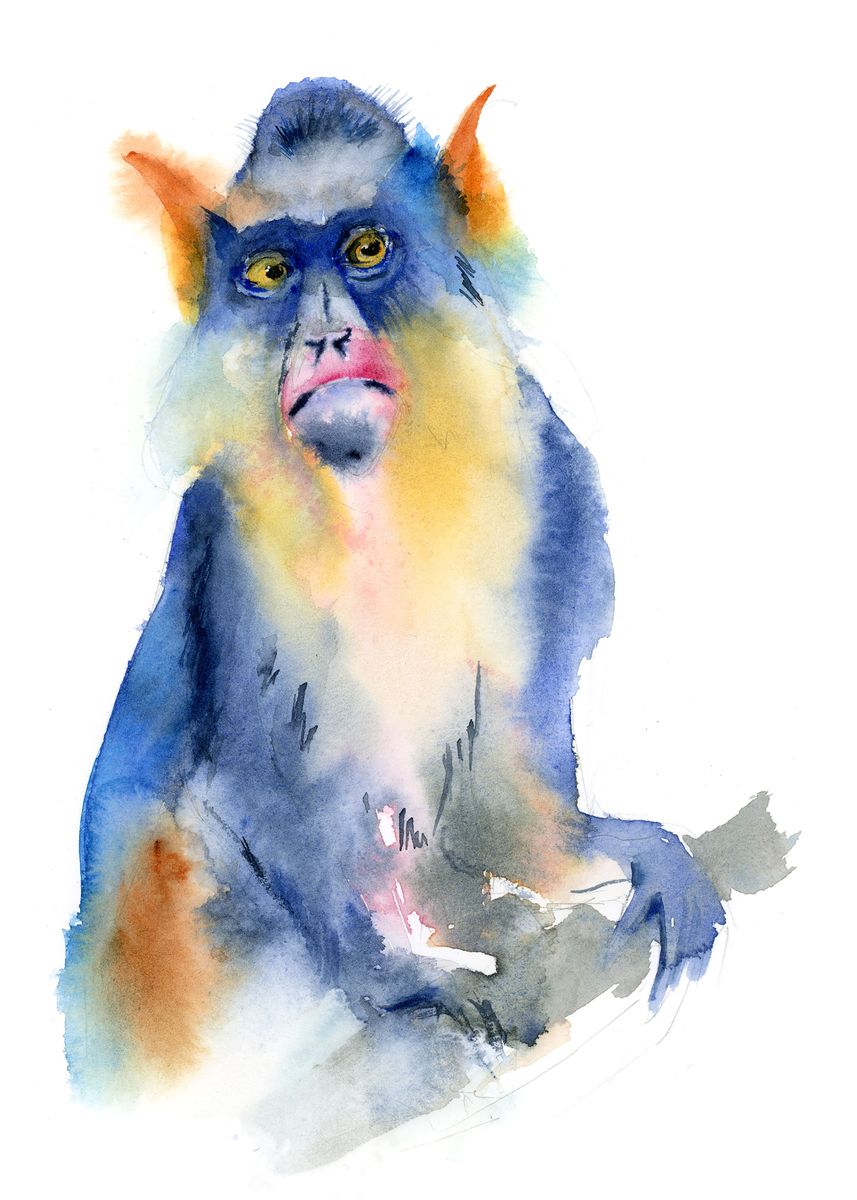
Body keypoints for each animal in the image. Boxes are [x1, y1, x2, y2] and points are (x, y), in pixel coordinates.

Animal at [60, 79, 789, 1166]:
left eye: (365, 251)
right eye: (270, 273)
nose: (322, 338)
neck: (380, 492)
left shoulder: (553, 482)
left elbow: (502, 802)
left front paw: (618, 851)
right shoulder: (231, 544)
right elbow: (239, 792)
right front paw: (397, 984)